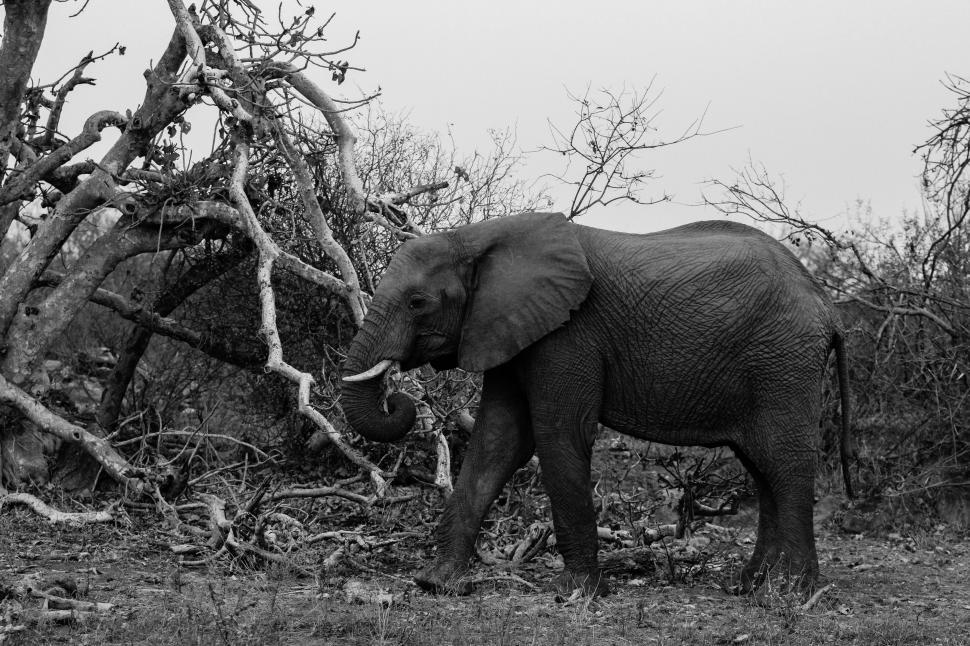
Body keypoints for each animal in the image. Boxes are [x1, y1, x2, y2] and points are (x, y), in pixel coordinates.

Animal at [341, 212, 852, 596]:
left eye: (417, 302)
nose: (397, 400)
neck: (477, 238)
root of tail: (828, 306)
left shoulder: (568, 334)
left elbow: (557, 434)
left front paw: (576, 593)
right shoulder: (506, 328)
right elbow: (497, 442)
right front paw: (436, 584)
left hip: (783, 361)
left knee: (784, 461)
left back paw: (790, 593)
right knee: (761, 468)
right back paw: (752, 584)